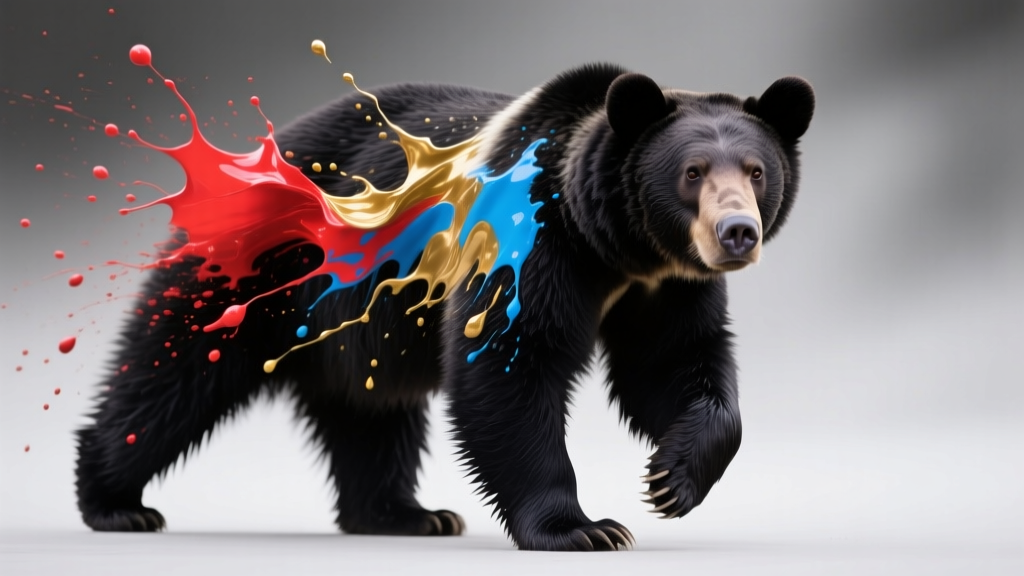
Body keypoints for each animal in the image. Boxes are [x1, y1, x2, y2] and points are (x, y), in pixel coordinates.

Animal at [74, 63, 814, 551]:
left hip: (354, 323)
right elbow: (511, 362)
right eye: (692, 173)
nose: (737, 233)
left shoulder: (664, 286)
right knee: (172, 372)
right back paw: (114, 500)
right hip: (261, 269)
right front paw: (582, 527)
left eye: (756, 171)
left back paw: (402, 514)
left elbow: (674, 364)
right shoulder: (526, 240)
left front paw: (671, 479)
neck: (612, 248)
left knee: (371, 410)